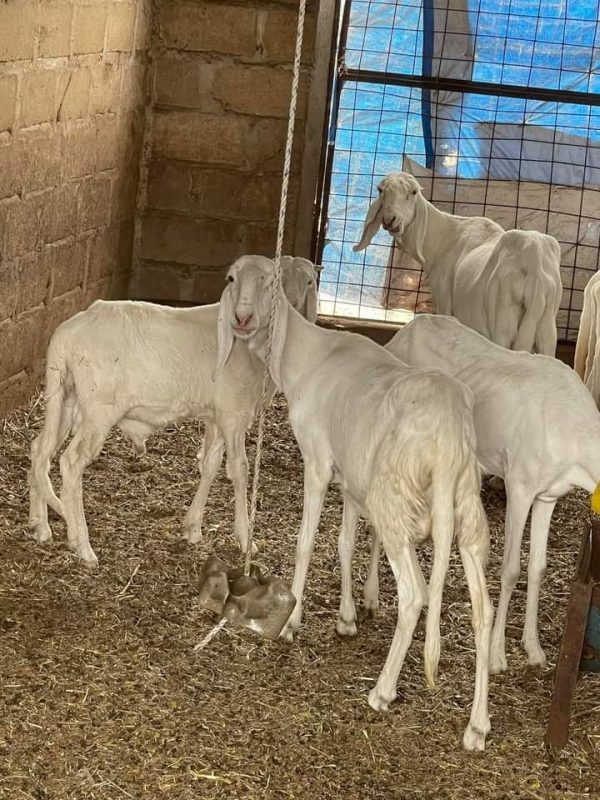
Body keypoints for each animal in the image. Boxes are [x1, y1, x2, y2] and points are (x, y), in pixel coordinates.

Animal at [28, 256, 320, 568]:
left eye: (309, 282)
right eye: (232, 279)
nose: (243, 318)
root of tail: (66, 336)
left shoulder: (216, 415)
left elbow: (210, 464)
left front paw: (192, 528)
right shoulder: (234, 414)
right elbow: (239, 471)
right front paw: (245, 540)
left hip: (66, 399)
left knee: (40, 449)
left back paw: (40, 525)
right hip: (98, 410)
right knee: (71, 462)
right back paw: (82, 546)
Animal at [216, 254, 493, 751]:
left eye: (268, 282)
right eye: (232, 278)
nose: (242, 319)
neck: (308, 356)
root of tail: (447, 442)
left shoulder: (318, 462)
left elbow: (306, 544)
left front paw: (292, 621)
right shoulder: (350, 479)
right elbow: (344, 543)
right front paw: (346, 618)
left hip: (394, 502)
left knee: (415, 595)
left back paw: (382, 691)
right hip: (466, 512)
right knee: (483, 611)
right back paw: (477, 726)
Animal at [353, 171, 562, 355]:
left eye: (413, 192)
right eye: (380, 190)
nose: (390, 220)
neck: (444, 237)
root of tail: (534, 260)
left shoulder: (444, 300)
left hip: (503, 320)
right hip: (546, 329)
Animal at [363, 313, 600, 675]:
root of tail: (401, 333)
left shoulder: (549, 494)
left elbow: (538, 567)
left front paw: (534, 650)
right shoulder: (520, 483)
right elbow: (511, 568)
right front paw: (498, 657)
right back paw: (371, 599)